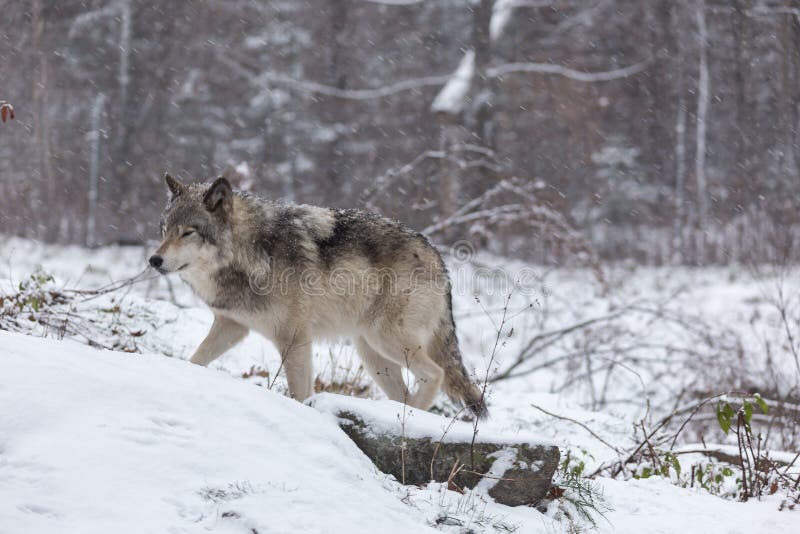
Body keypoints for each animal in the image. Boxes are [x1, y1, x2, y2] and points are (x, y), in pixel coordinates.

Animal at [149, 174, 487, 418]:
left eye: (188, 232)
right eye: (164, 230)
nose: (154, 260)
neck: (253, 252)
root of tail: (436, 253)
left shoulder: (294, 340)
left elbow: (300, 393)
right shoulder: (232, 326)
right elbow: (195, 359)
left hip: (388, 340)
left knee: (436, 374)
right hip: (373, 354)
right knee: (407, 390)